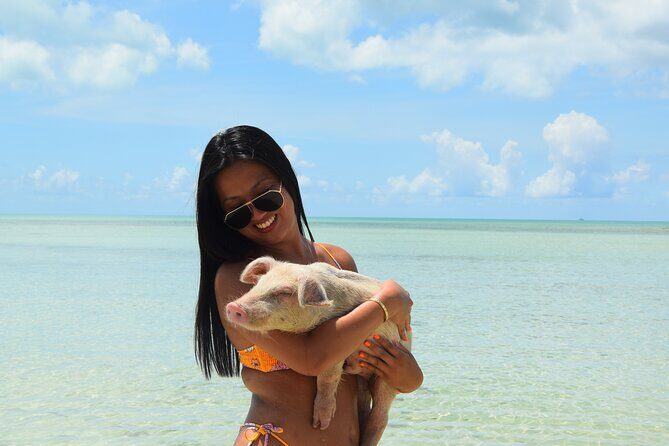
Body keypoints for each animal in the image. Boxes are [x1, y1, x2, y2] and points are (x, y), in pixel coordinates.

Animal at [225, 256, 411, 446]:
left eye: (284, 292)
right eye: (259, 283)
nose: (233, 307)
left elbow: (327, 378)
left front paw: (320, 424)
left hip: (387, 380)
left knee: (380, 416)